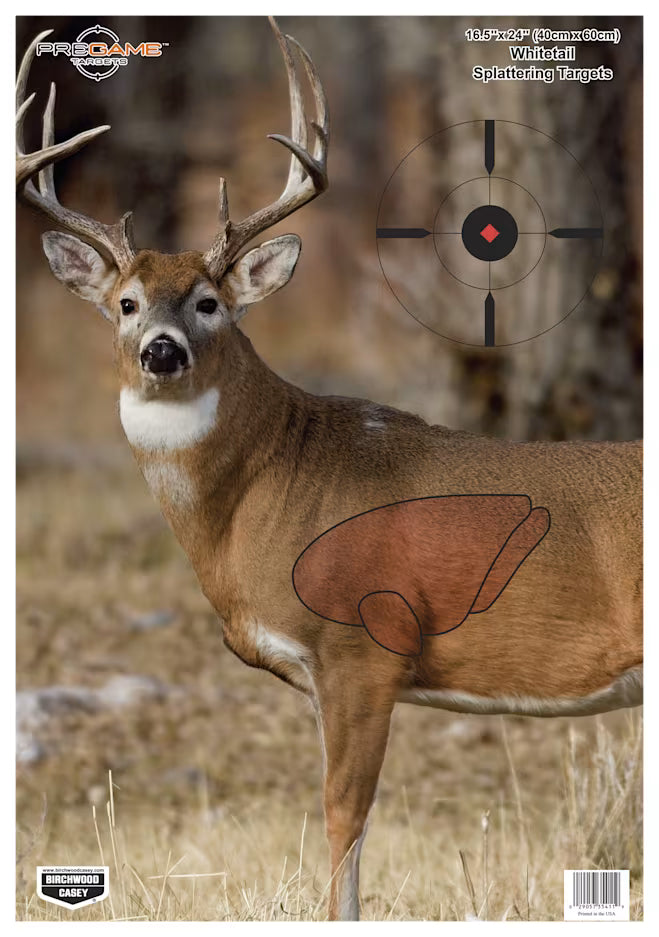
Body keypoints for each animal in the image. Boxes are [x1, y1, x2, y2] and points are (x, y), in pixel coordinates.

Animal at [17, 18, 642, 921]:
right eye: (125, 303)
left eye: (208, 302)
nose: (161, 351)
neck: (267, 492)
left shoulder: (361, 645)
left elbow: (343, 815)